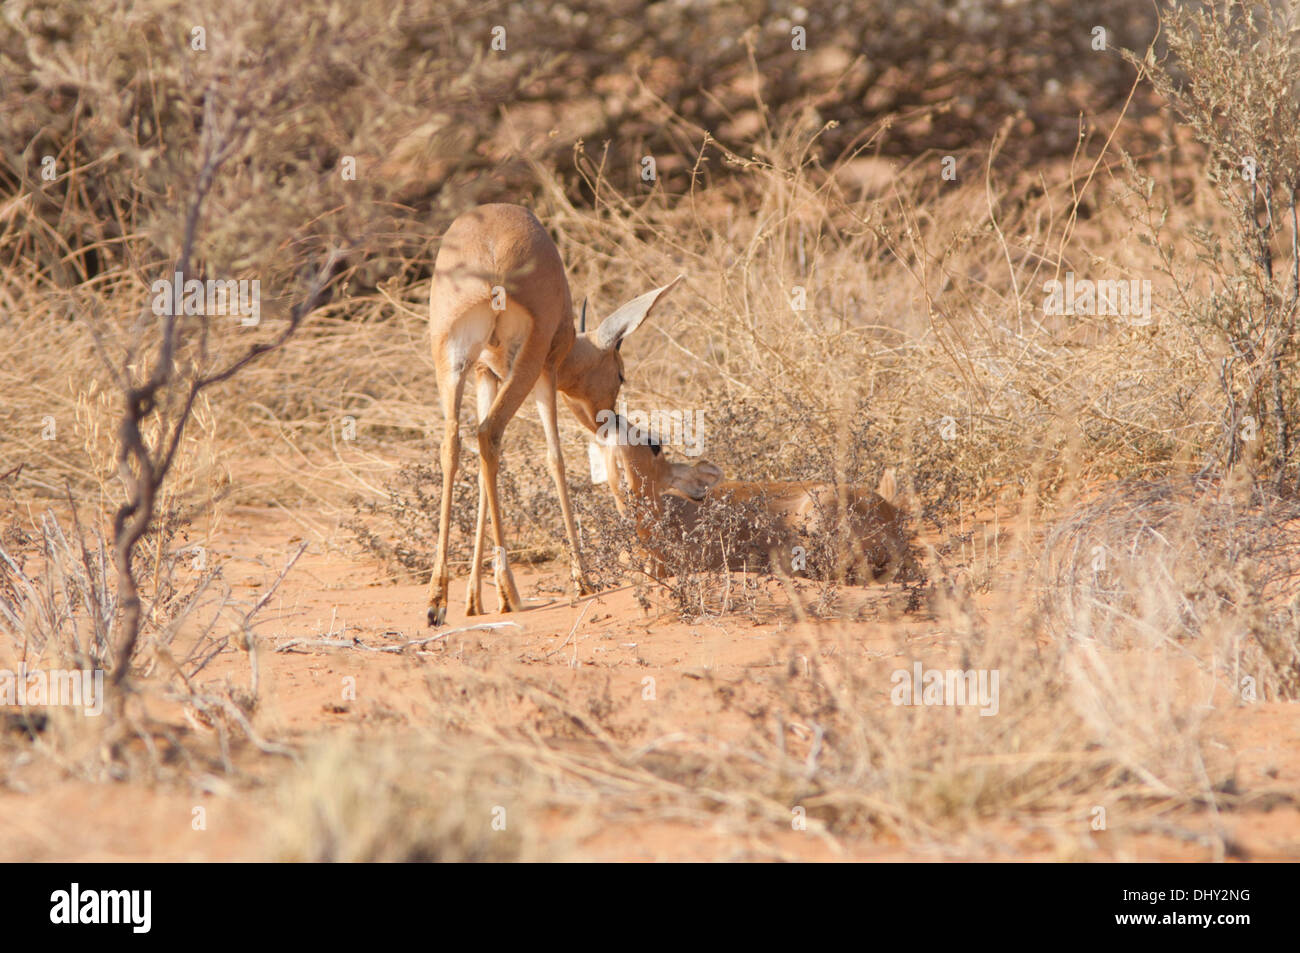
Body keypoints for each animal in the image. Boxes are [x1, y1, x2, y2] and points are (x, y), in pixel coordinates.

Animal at [426, 204, 682, 626]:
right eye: (621, 373)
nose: (606, 419)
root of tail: (491, 253)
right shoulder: (547, 371)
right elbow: (556, 458)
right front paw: (583, 579)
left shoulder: (485, 373)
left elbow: (482, 476)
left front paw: (474, 598)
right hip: (527, 362)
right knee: (489, 433)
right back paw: (510, 592)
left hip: (451, 361)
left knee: (455, 443)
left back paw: (437, 599)